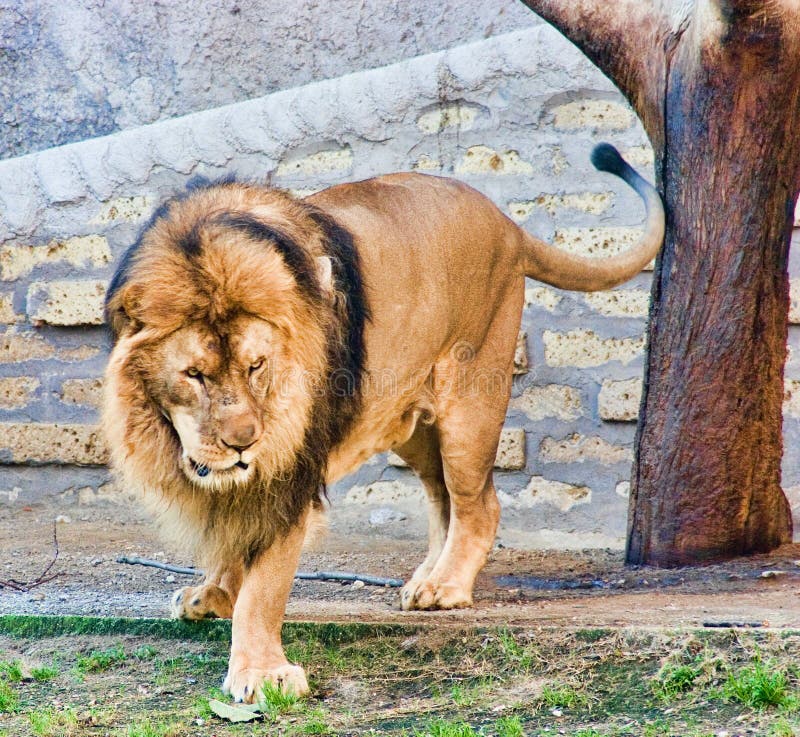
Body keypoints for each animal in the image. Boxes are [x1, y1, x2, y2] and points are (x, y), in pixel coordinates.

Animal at [102, 143, 663, 703]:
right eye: (194, 374)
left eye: (256, 366)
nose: (245, 443)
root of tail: (505, 221)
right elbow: (230, 539)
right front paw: (215, 593)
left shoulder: (292, 471)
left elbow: (264, 588)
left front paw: (262, 672)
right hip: (410, 425)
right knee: (441, 499)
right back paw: (425, 578)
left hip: (471, 403)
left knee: (478, 504)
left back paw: (446, 587)